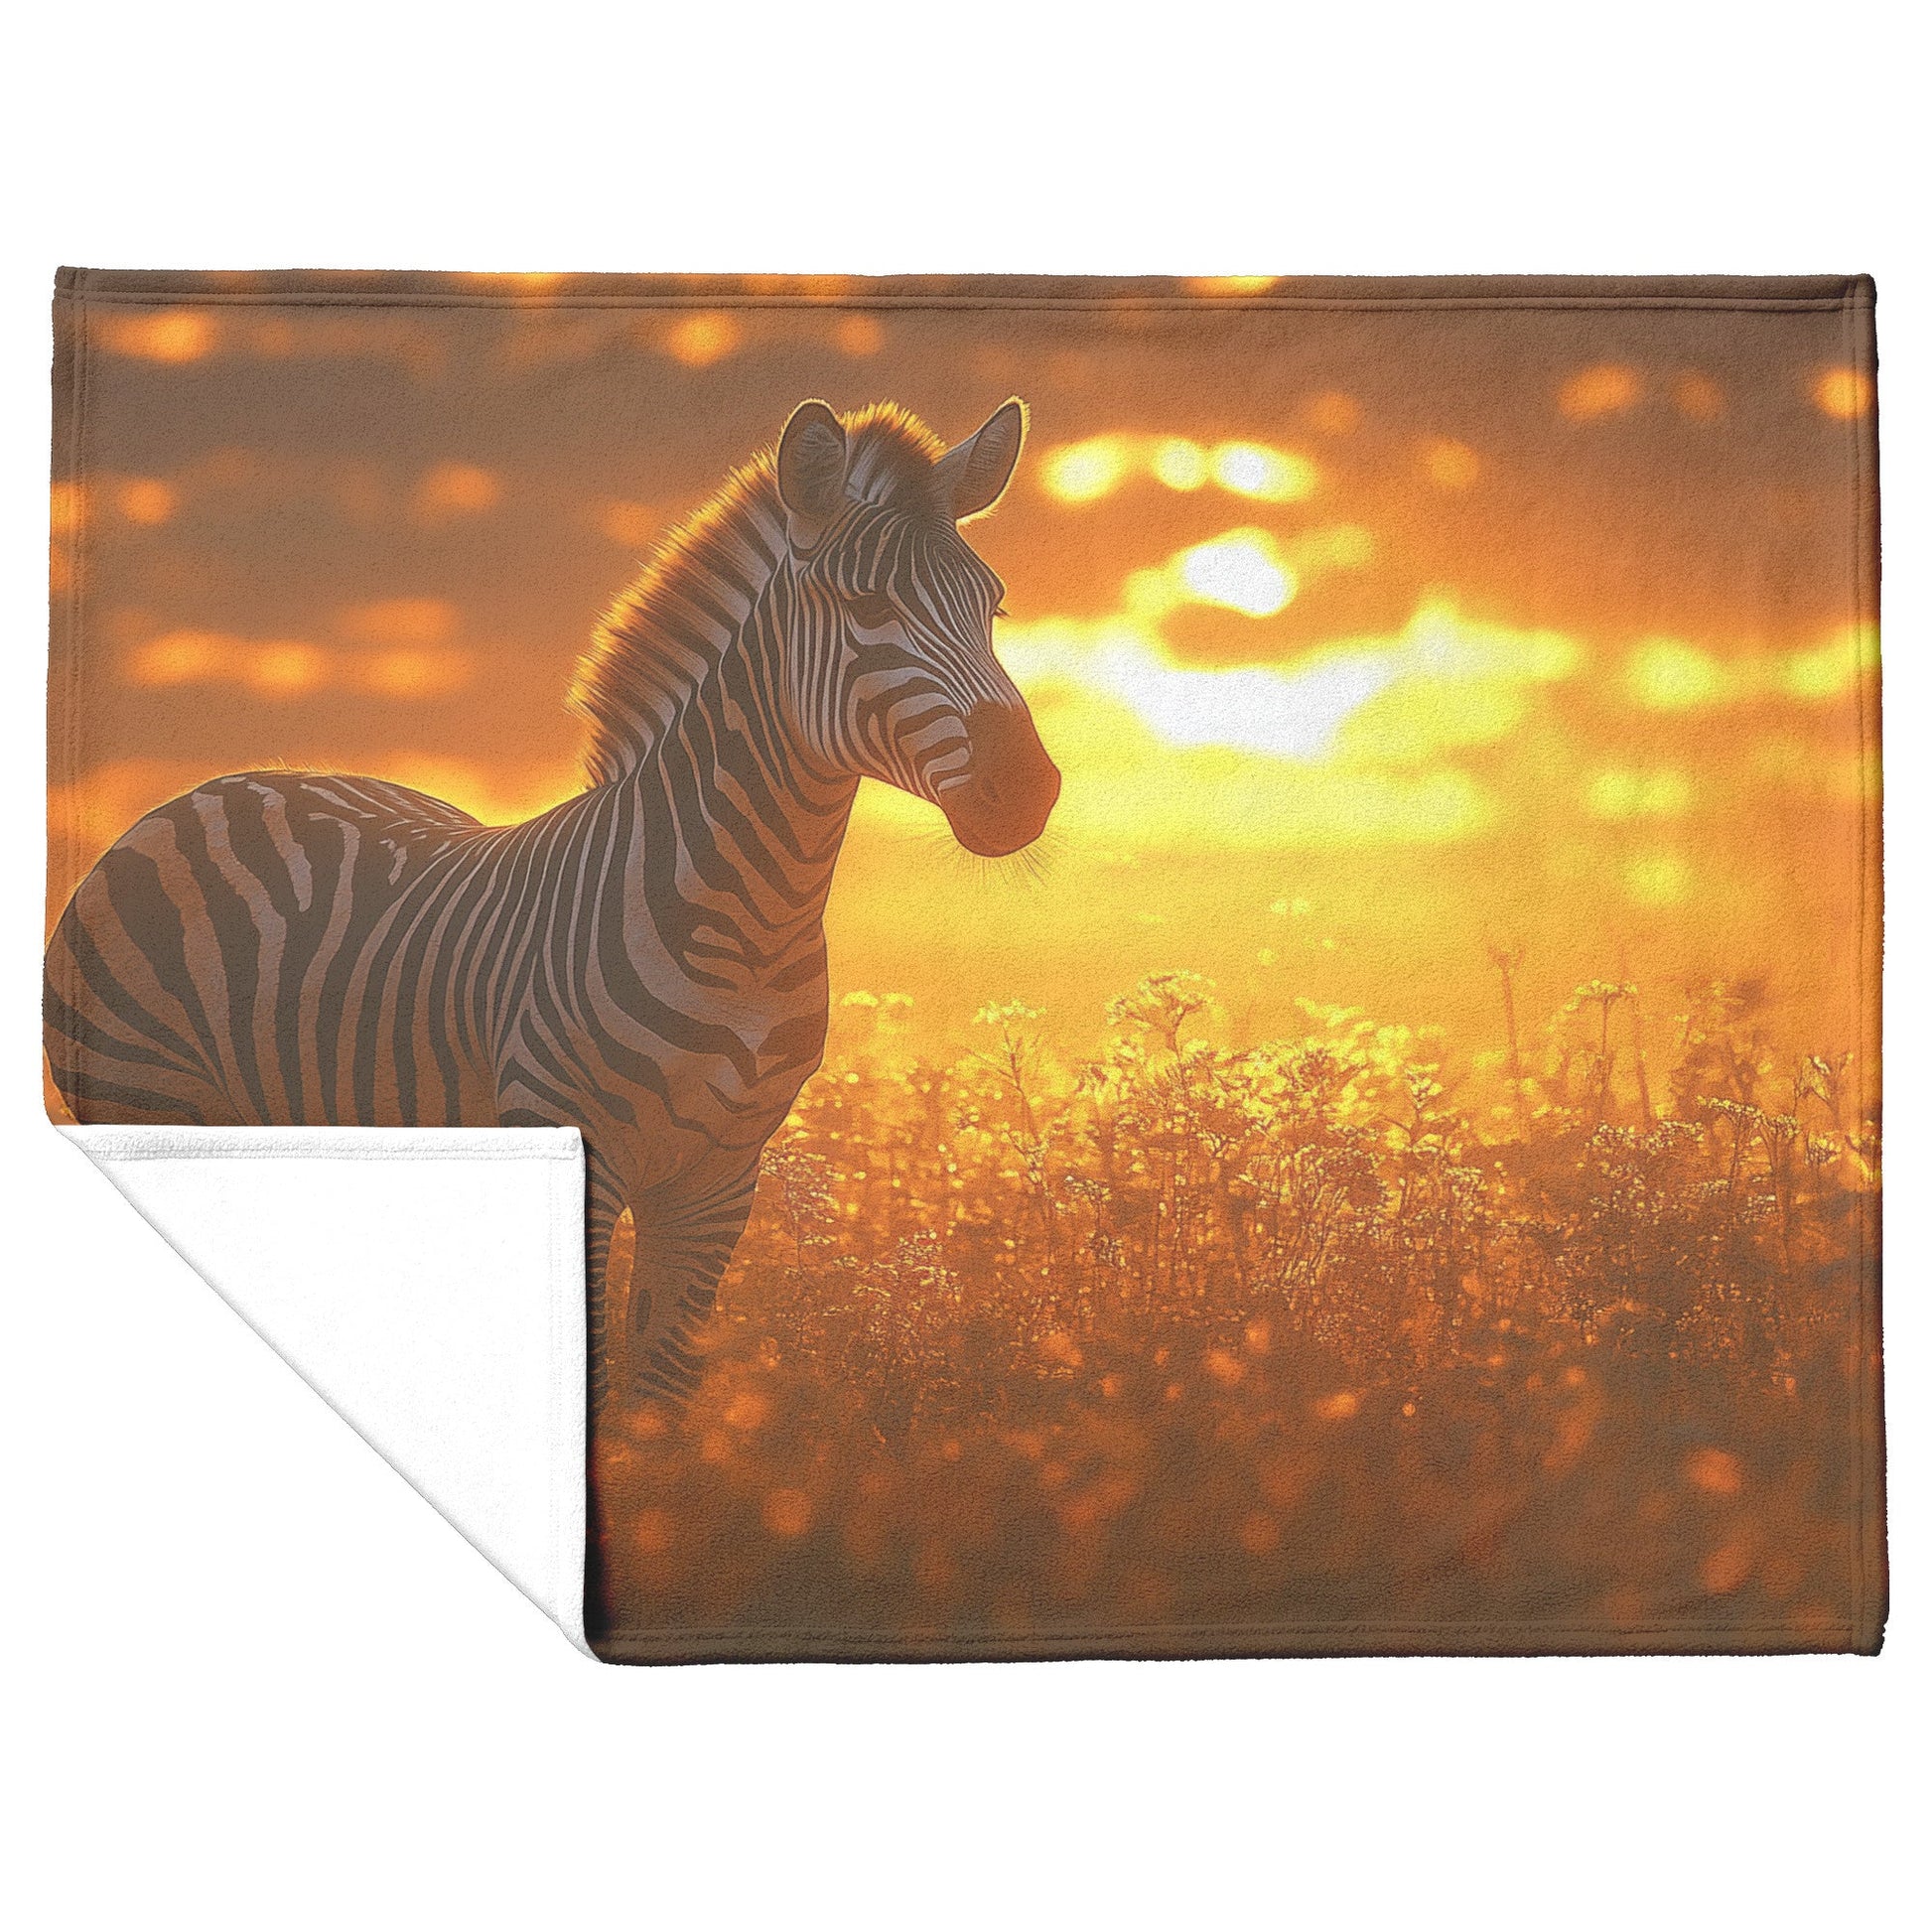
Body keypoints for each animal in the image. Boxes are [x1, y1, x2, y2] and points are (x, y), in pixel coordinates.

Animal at [44, 397, 1061, 1405]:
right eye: (866, 607)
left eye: (994, 607)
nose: (1029, 791)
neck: (749, 925)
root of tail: (205, 790)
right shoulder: (575, 1150)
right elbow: (596, 1387)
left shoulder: (720, 1181)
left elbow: (662, 1393)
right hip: (147, 1095)